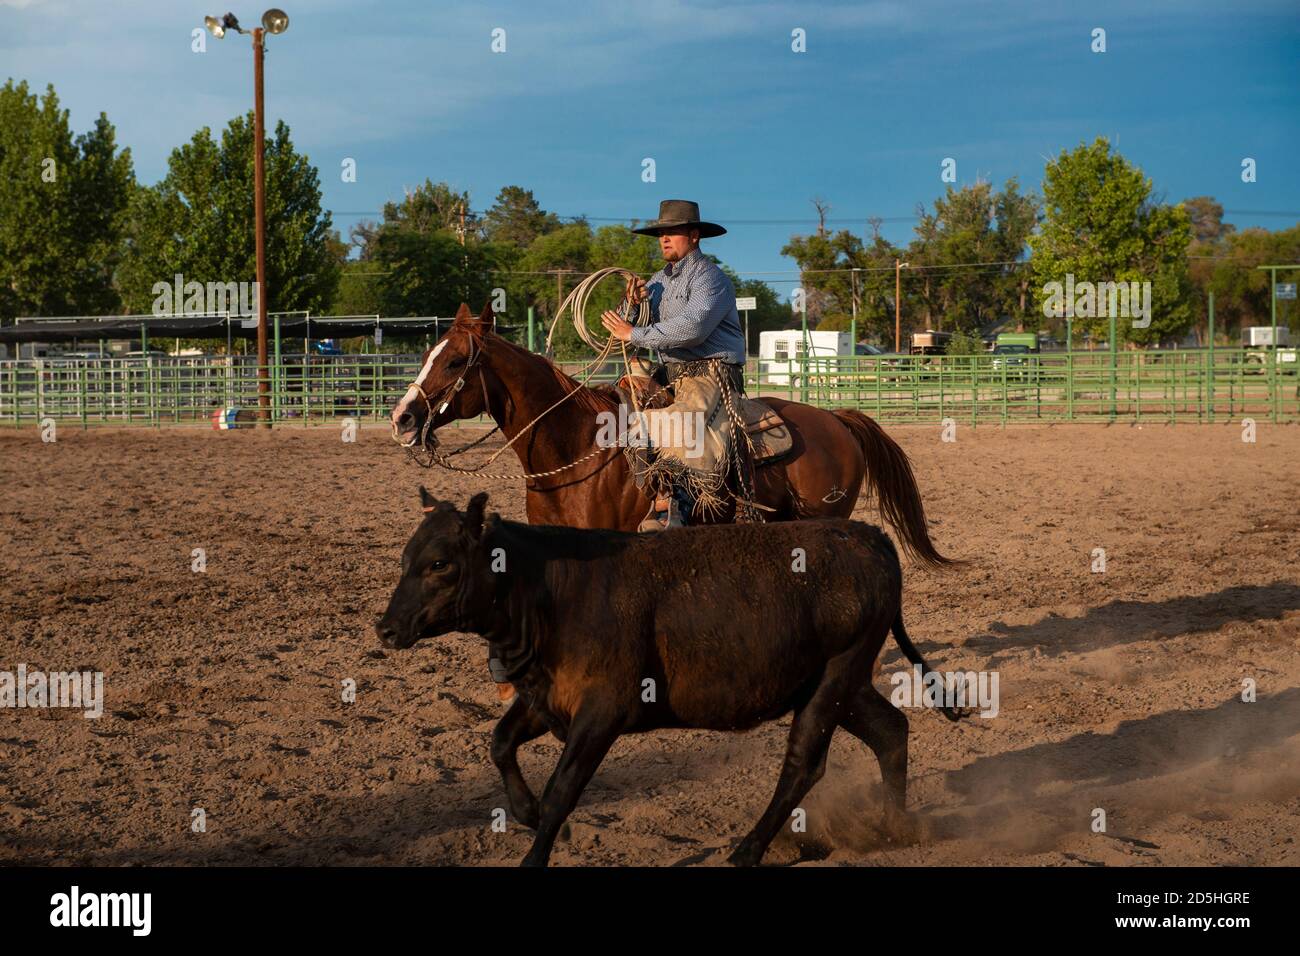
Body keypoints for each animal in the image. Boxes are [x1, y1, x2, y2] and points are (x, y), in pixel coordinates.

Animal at [375, 489, 963, 867]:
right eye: (405, 558)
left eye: (440, 564)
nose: (386, 628)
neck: (552, 590)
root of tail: (870, 536)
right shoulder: (548, 698)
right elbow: (499, 741)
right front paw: (524, 809)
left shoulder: (603, 711)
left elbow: (563, 789)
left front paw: (535, 849)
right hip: (842, 683)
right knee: (890, 730)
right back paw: (893, 829)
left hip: (834, 680)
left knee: (804, 764)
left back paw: (748, 850)